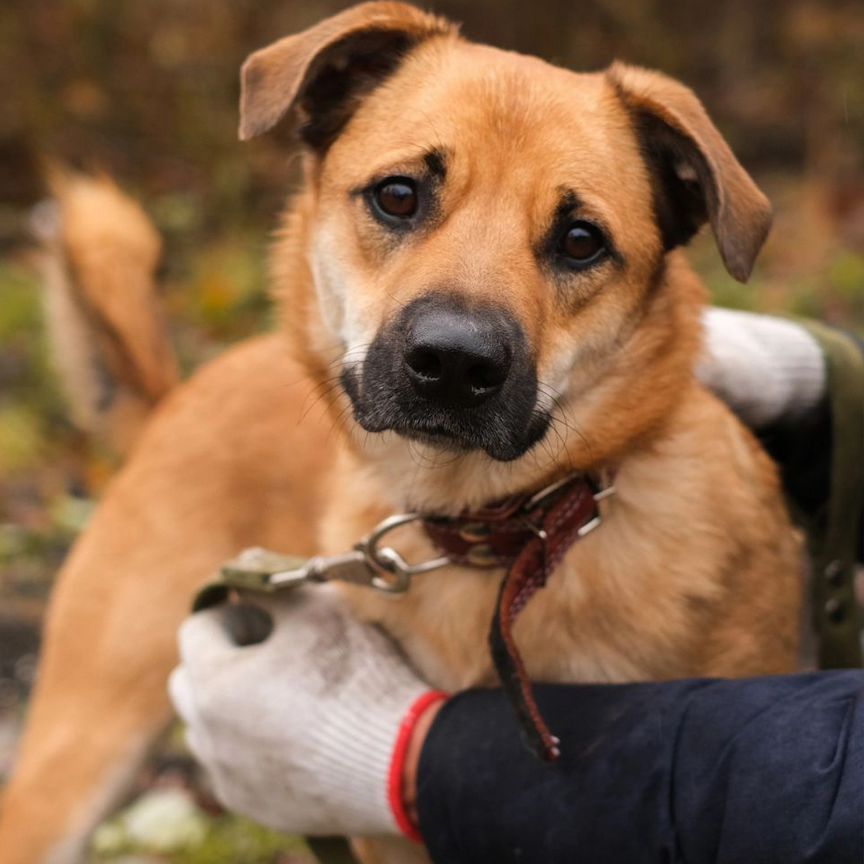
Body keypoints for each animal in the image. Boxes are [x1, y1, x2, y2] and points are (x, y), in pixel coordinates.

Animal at [0, 3, 804, 860]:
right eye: (397, 195)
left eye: (581, 240)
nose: (454, 363)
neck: (497, 545)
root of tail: (174, 395)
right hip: (78, 750)